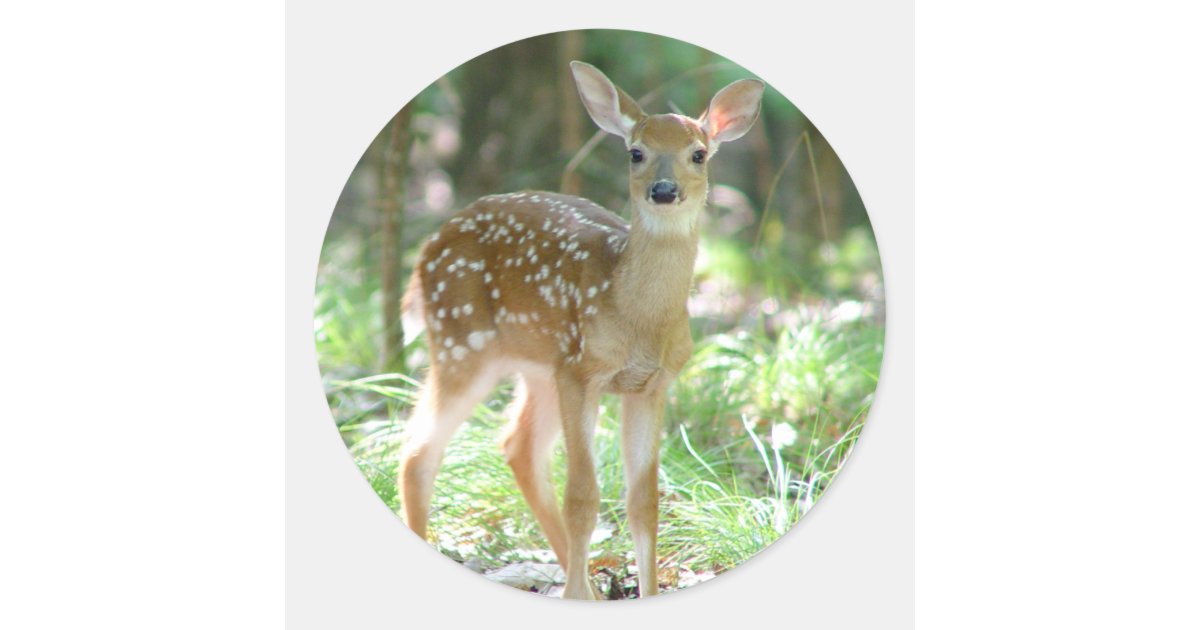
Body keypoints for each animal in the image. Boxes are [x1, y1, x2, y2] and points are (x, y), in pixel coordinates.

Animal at [397, 61, 764, 600]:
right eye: (636, 152)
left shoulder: (650, 384)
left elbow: (643, 502)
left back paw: (587, 587)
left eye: (698, 153)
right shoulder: (581, 370)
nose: (664, 191)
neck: (636, 319)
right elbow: (584, 498)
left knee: (517, 446)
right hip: (462, 342)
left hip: (536, 365)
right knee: (419, 451)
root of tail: (425, 250)